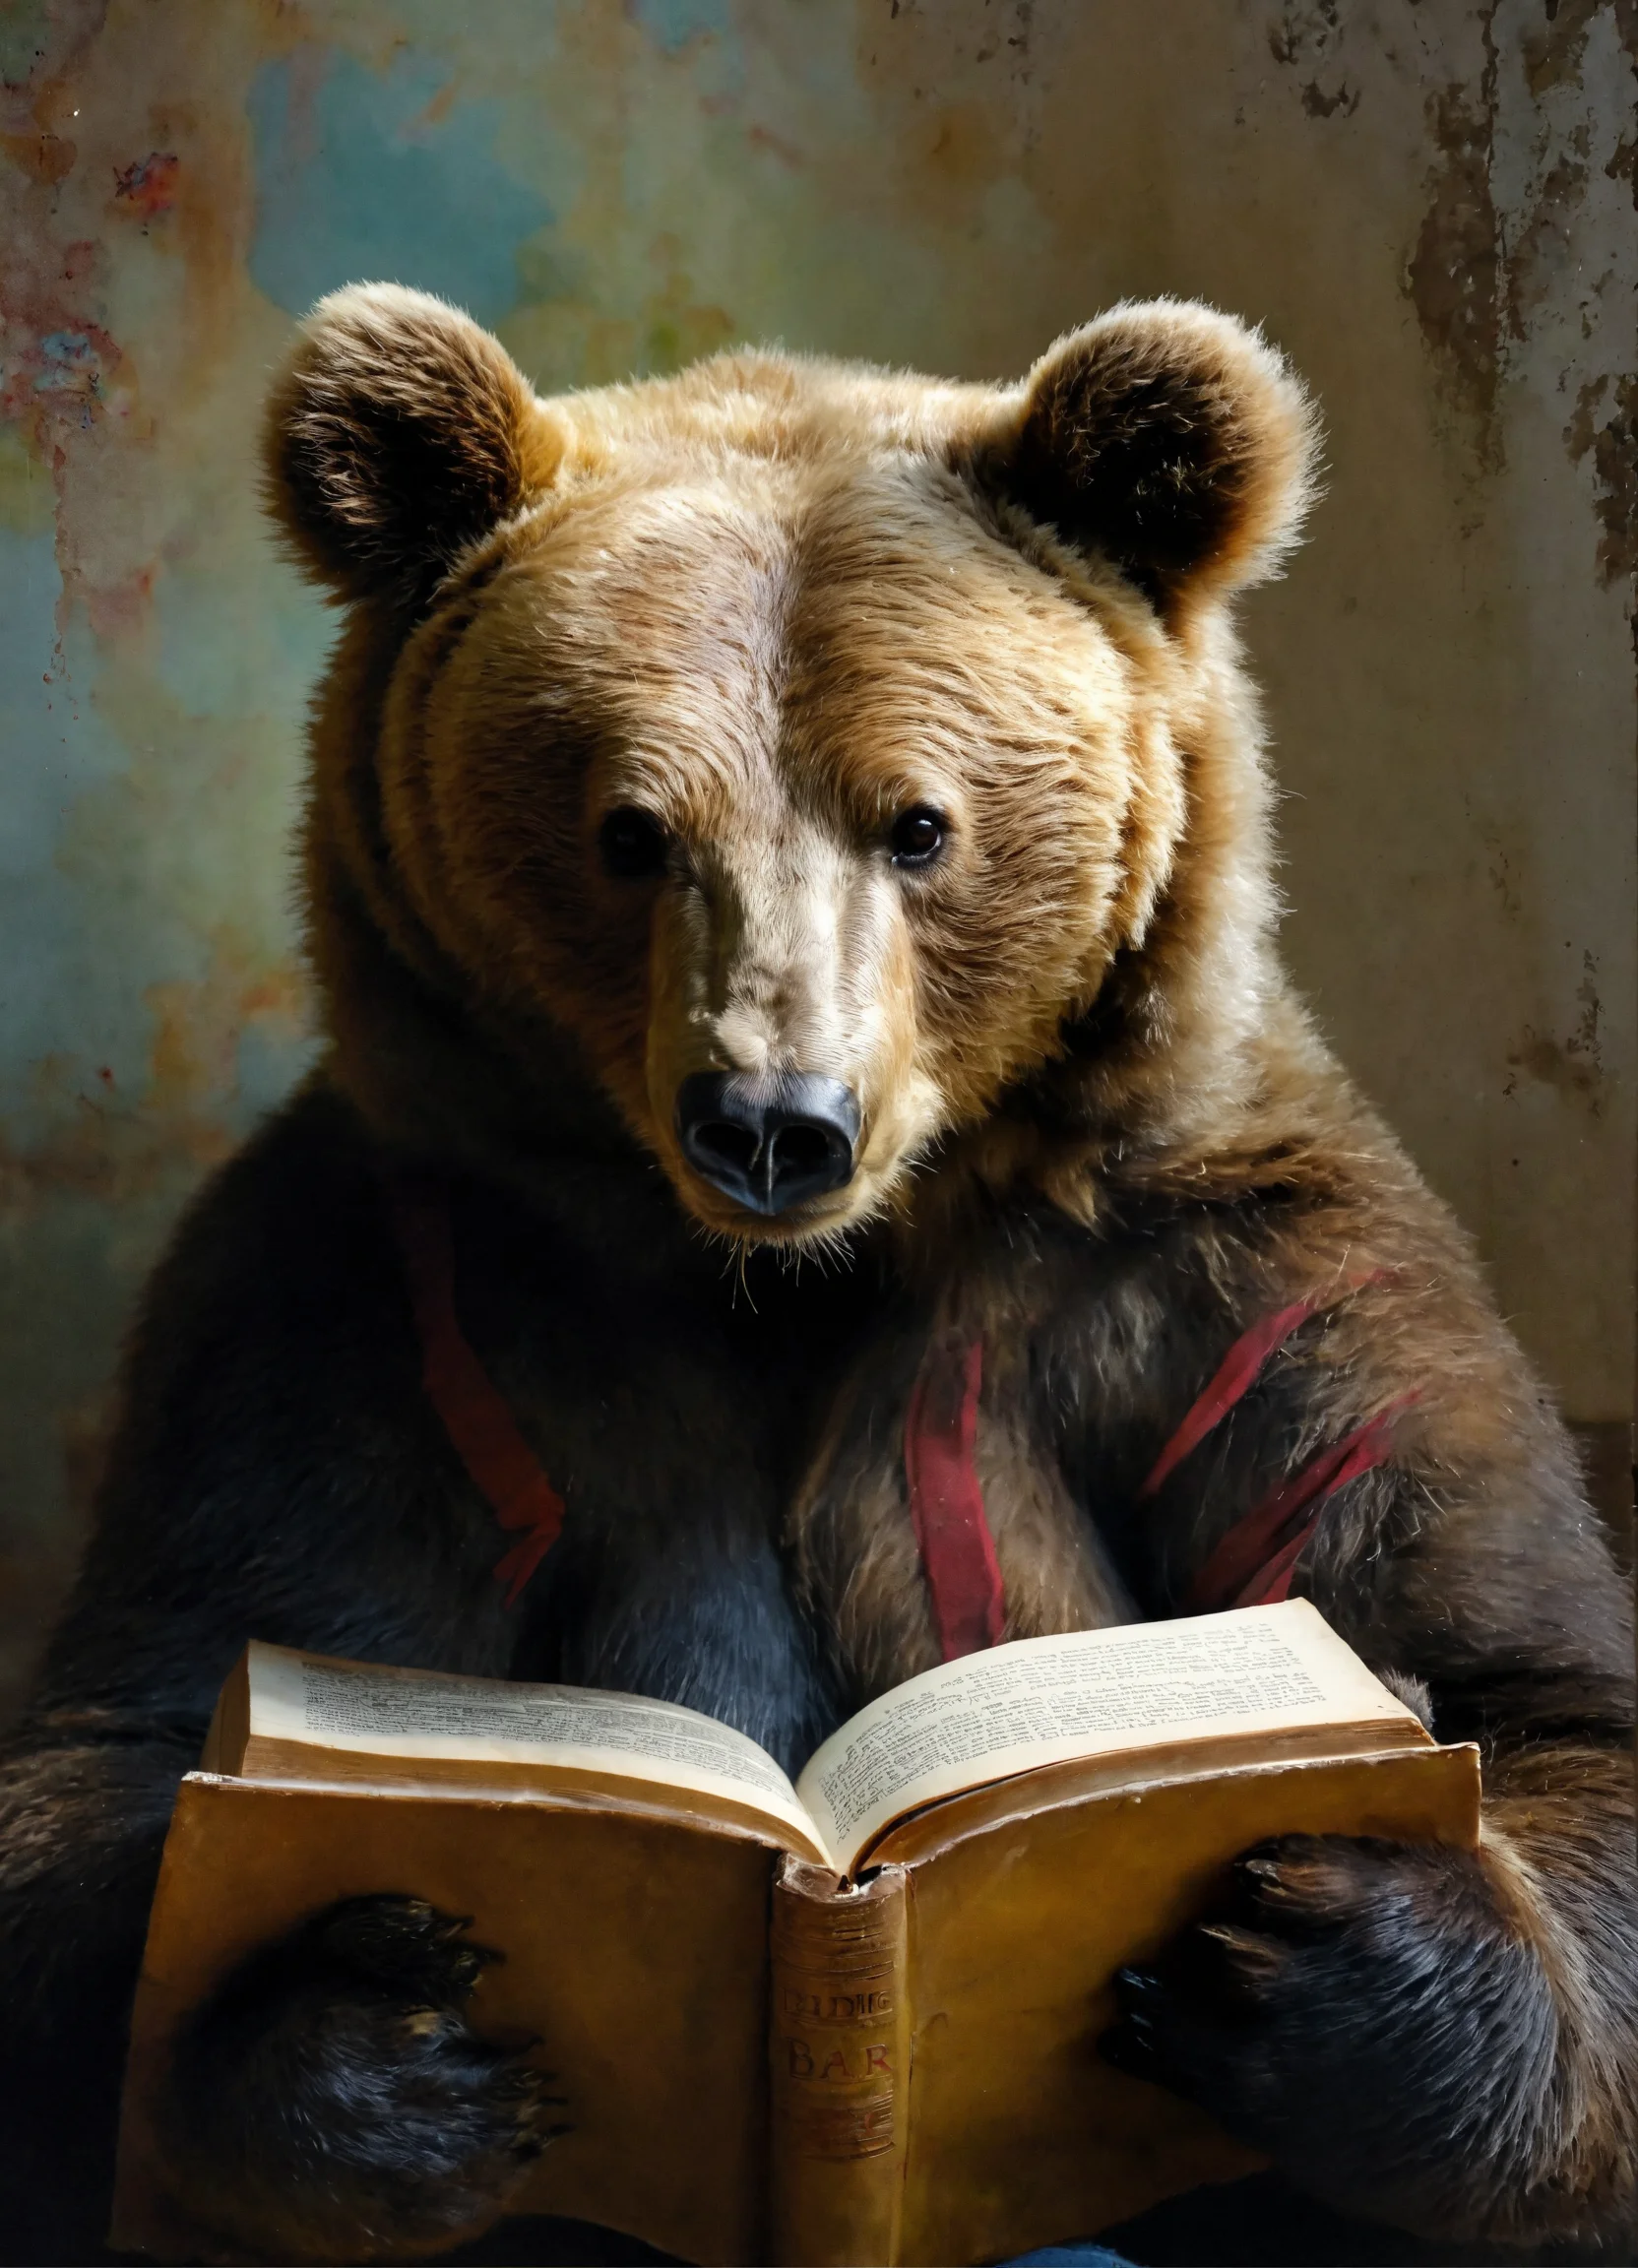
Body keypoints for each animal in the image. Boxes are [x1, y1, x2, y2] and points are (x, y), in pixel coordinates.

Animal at [0, 283, 1631, 2266]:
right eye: (629, 828)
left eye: (916, 821)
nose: (773, 1120)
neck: (799, 1279)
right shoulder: (377, 1295)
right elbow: (141, 1726)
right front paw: (377, 2031)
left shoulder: (1238, 1269)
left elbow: (1518, 1684)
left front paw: (1311, 1939)